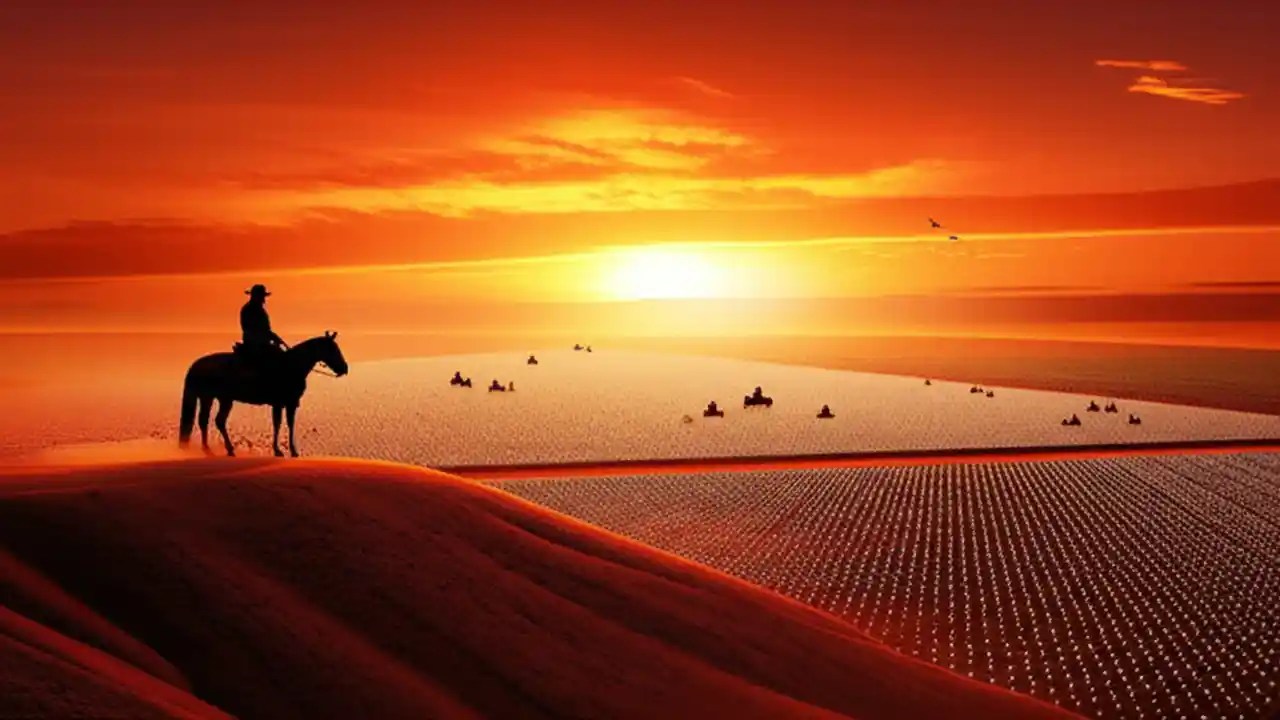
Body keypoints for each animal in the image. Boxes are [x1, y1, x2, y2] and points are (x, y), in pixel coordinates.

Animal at [179, 331, 348, 457]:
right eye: (333, 349)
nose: (345, 368)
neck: (291, 365)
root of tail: (196, 365)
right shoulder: (284, 403)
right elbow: (280, 424)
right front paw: (282, 451)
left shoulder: (287, 403)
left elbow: (286, 423)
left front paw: (288, 450)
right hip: (215, 398)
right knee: (212, 420)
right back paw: (219, 449)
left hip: (217, 398)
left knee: (208, 420)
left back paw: (212, 448)